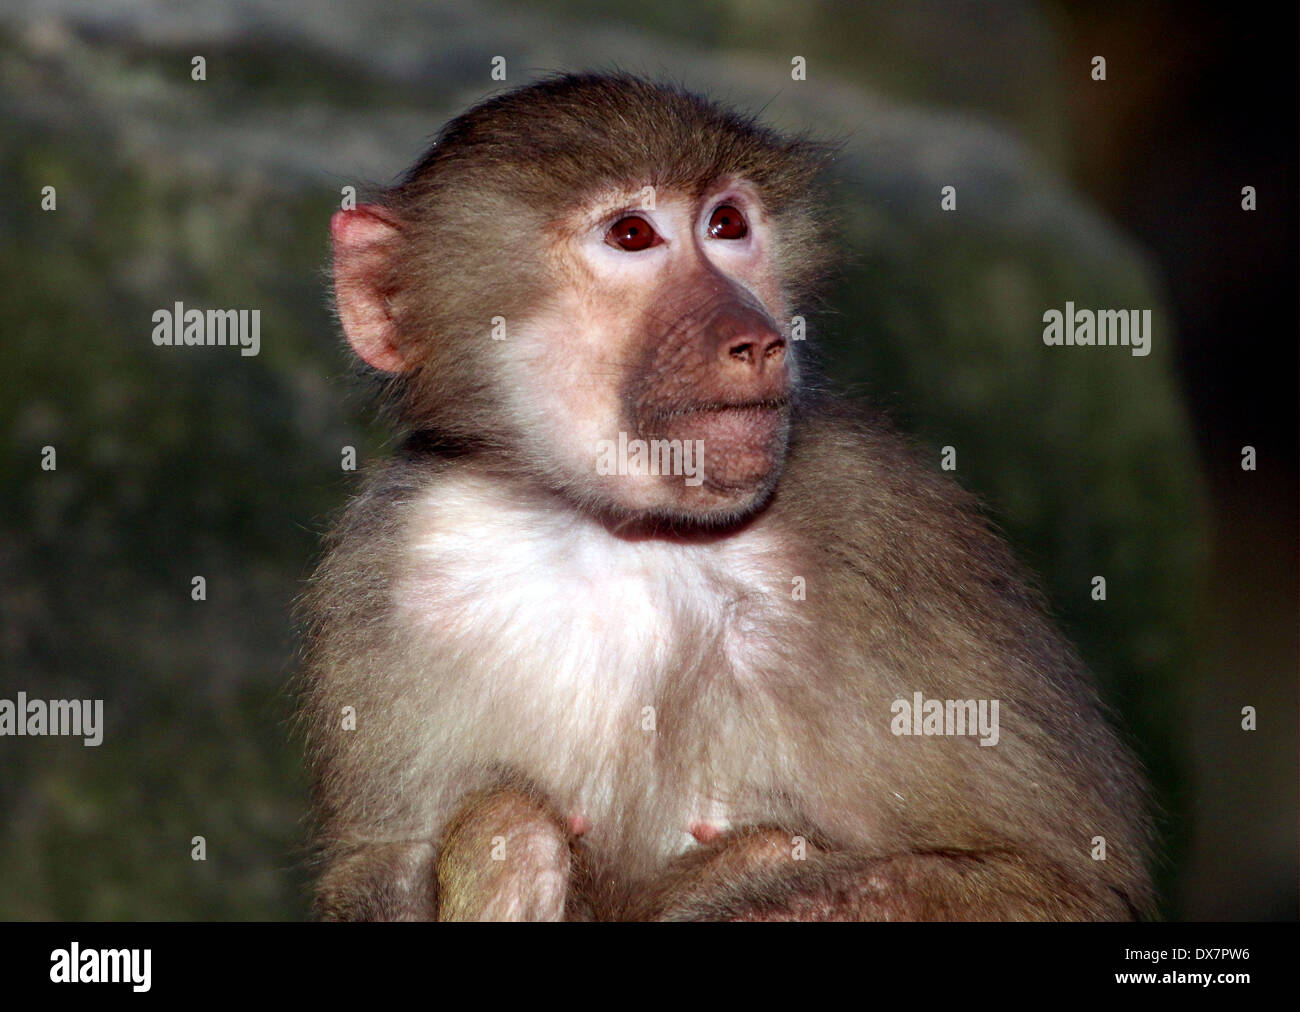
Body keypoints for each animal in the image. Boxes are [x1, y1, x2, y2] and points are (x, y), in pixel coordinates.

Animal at [297, 72, 1153, 921]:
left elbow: (1057, 883)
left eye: (727, 223)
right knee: (509, 822)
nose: (755, 339)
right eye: (632, 235)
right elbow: (383, 868)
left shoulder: (882, 522)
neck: (625, 533)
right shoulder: (399, 550)